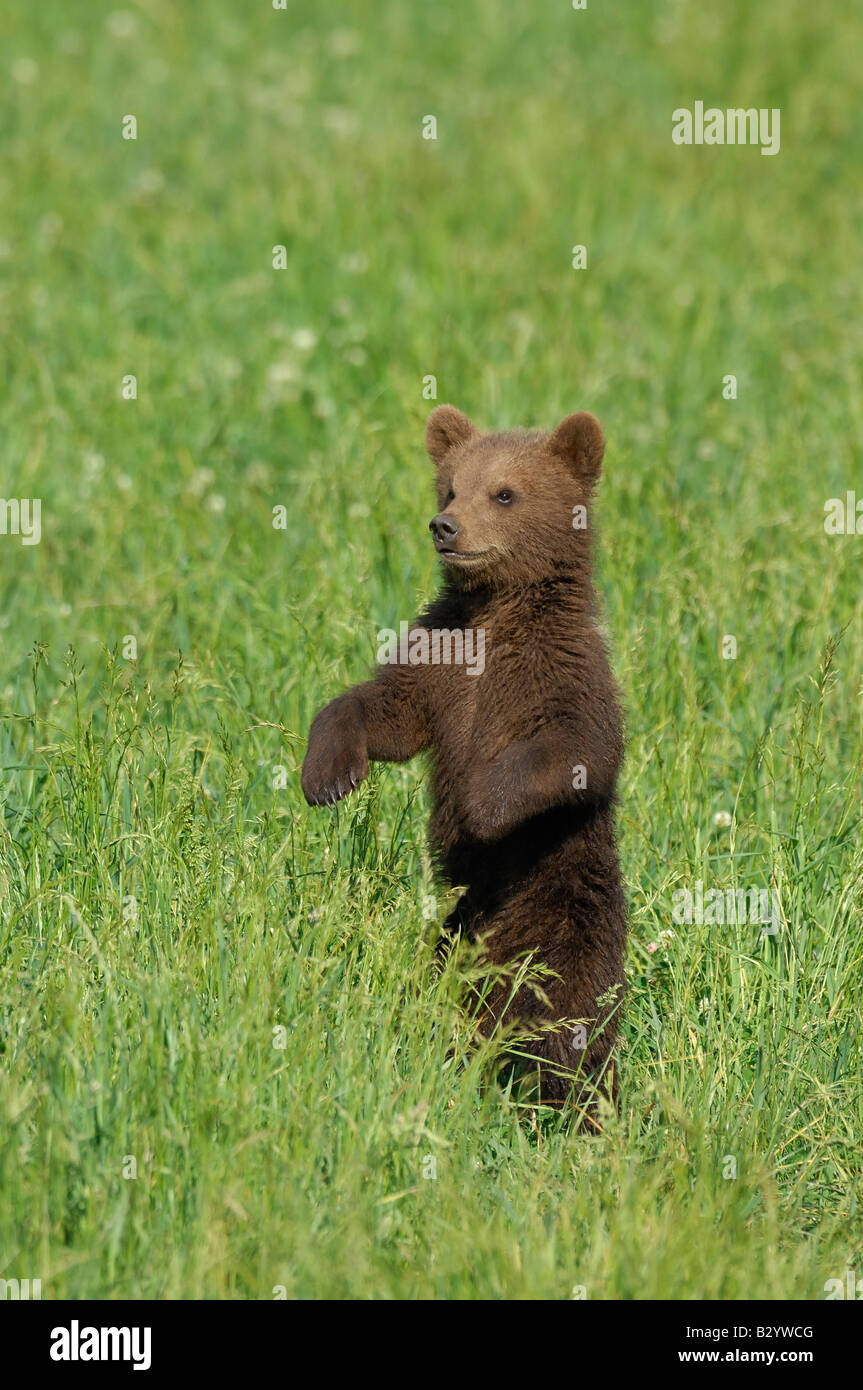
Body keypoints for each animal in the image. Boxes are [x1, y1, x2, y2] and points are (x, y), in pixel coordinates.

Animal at [301, 405, 627, 1118]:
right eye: (451, 487)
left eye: (504, 493)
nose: (444, 526)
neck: (497, 610)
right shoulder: (441, 659)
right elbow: (382, 709)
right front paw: (329, 774)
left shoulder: (564, 675)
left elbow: (577, 753)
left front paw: (478, 807)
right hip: (453, 940)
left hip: (563, 915)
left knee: (571, 1019)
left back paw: (569, 1099)